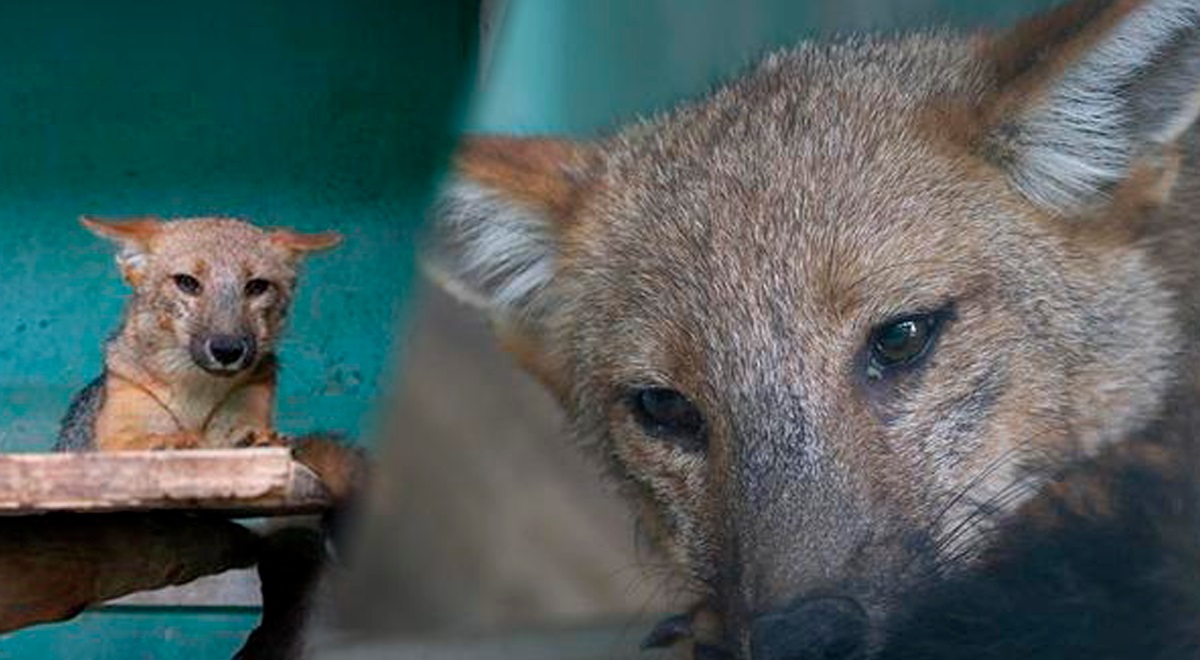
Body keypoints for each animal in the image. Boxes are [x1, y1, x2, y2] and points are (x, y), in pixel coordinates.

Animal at [55, 216, 340, 452]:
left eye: (257, 286)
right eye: (187, 282)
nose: (227, 350)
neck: (195, 397)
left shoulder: (245, 415)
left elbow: (232, 436)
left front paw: (257, 439)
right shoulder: (115, 438)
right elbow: (148, 439)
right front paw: (171, 441)